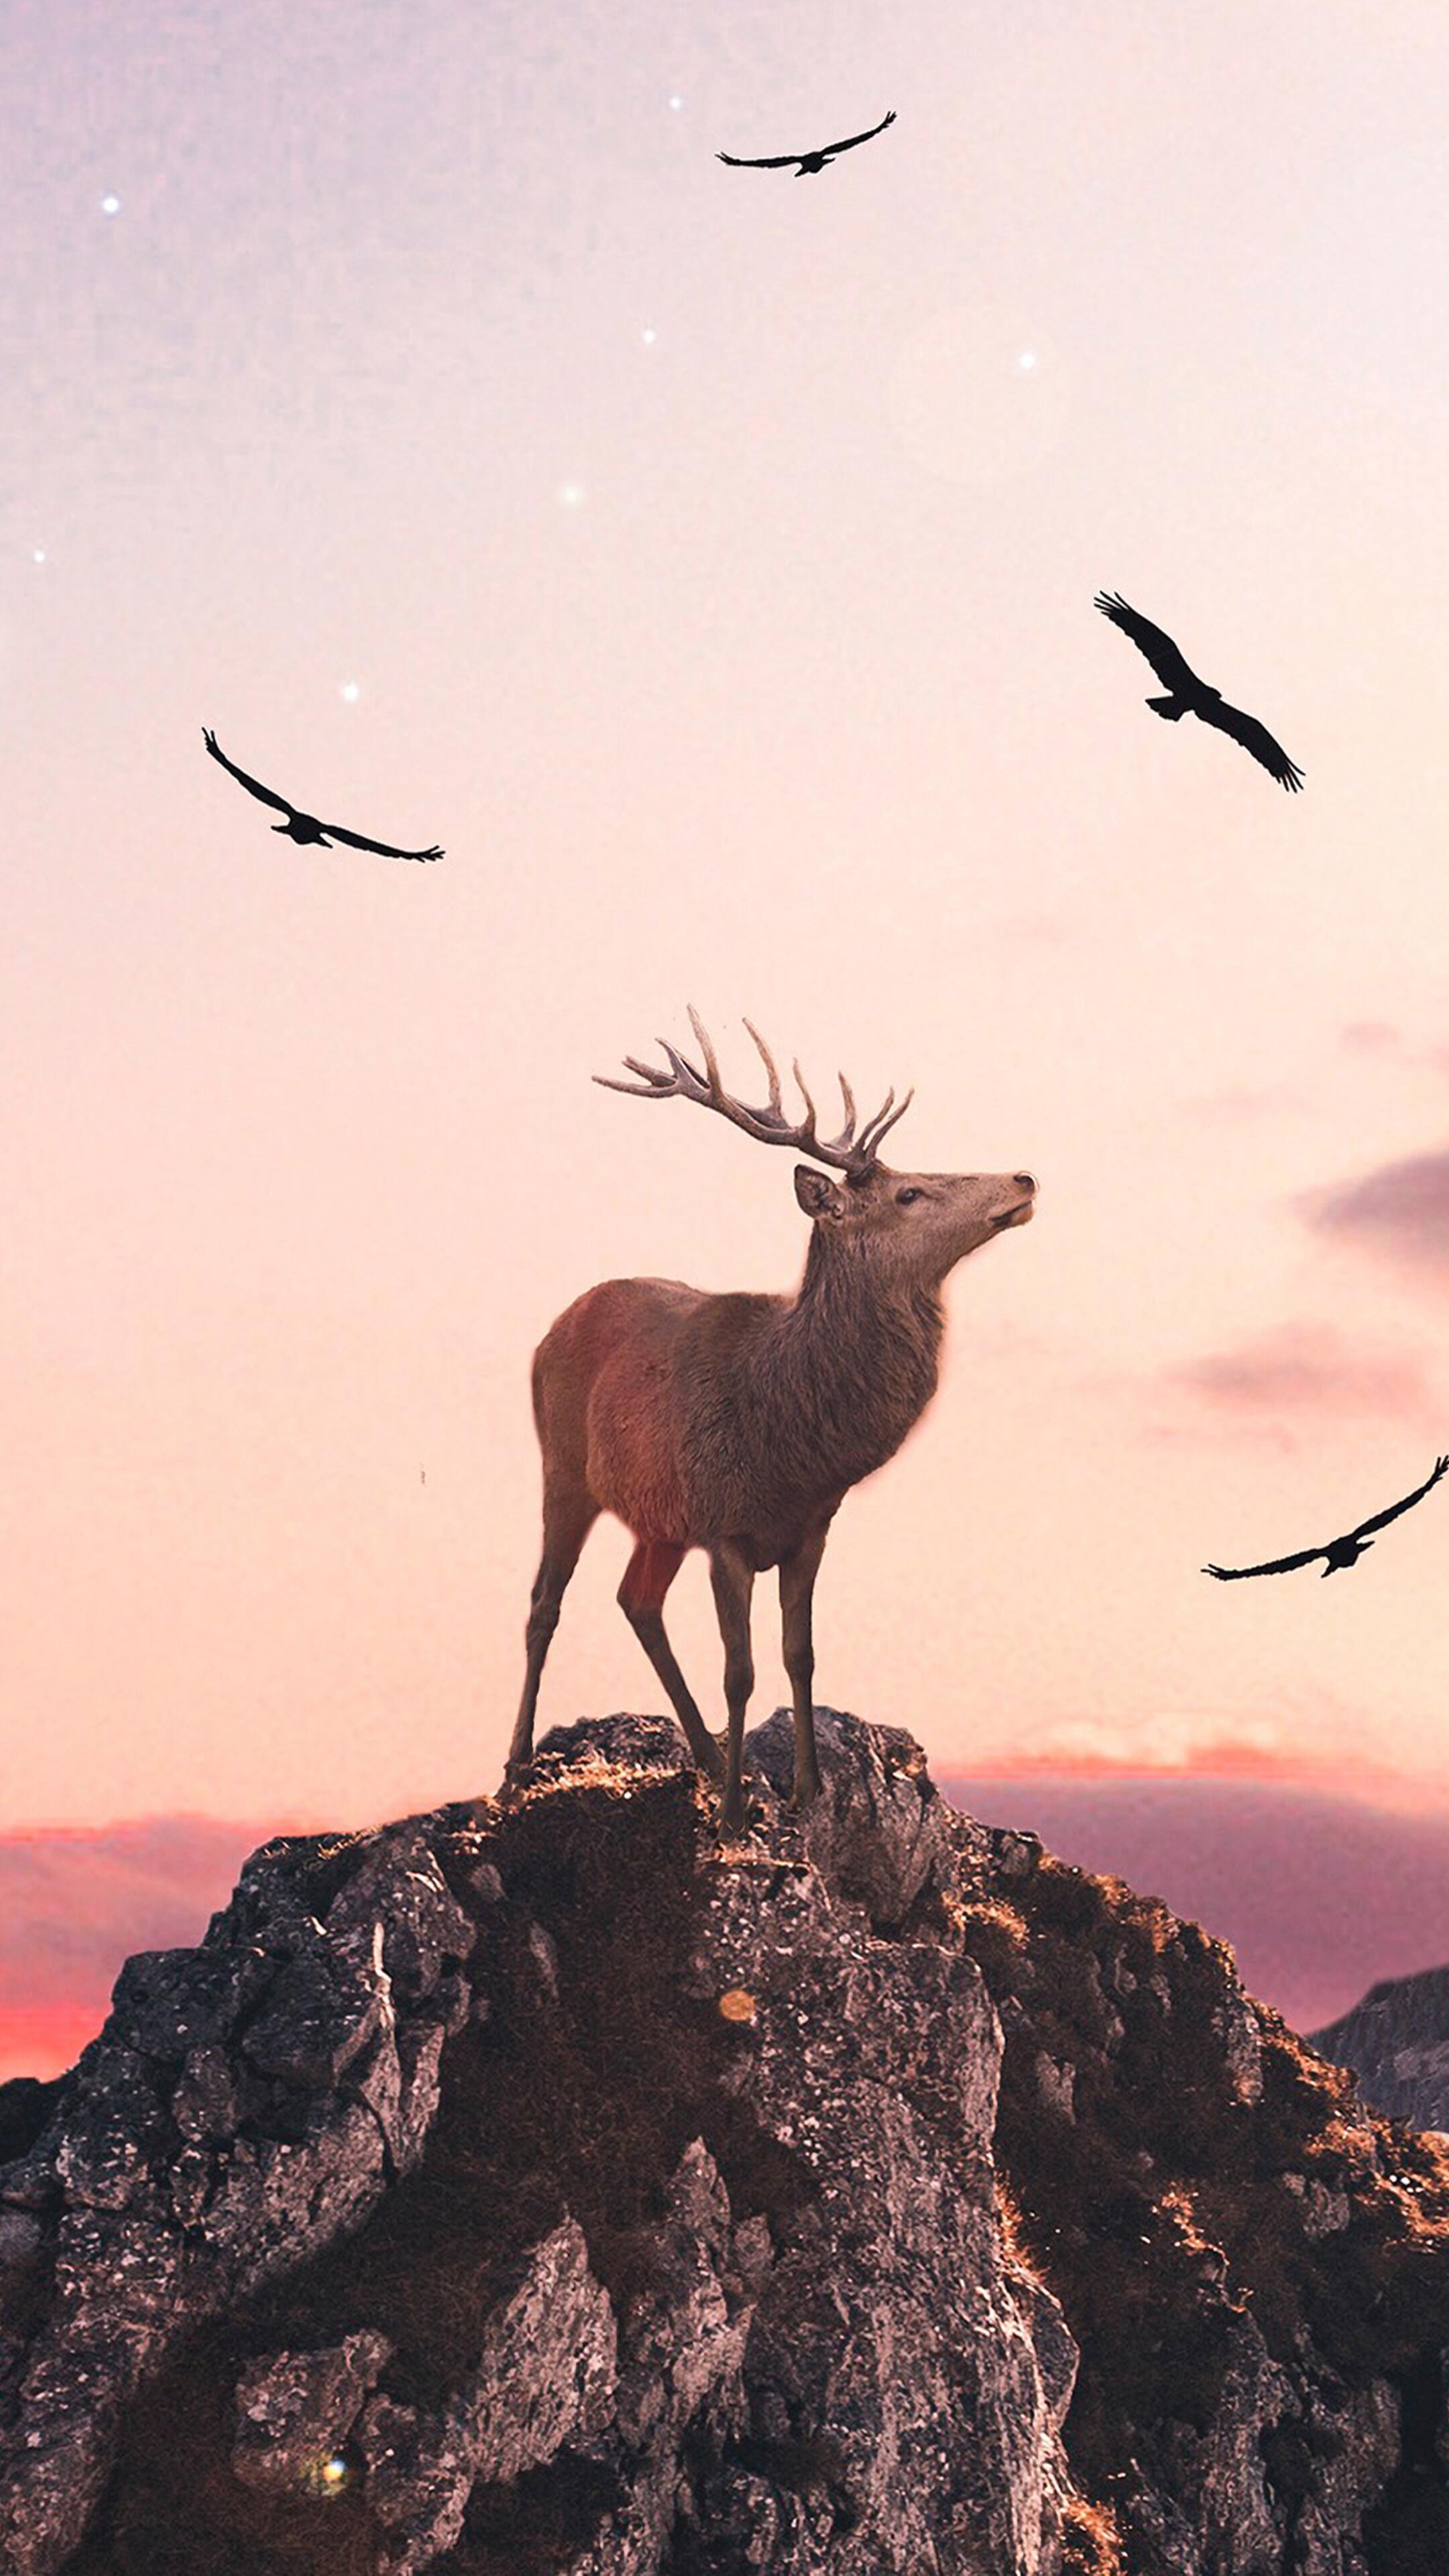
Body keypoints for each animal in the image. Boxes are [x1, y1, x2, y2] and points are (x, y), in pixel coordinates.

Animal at [507, 1011, 1036, 1835]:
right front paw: (732, 1817)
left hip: (660, 1520)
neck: (793, 1443)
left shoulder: (810, 1527)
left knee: (635, 1599)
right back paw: (514, 1769)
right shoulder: (725, 1529)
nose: (1023, 1178)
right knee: (543, 1605)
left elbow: (800, 1653)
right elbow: (741, 1669)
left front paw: (805, 1790)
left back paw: (699, 1754)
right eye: (910, 1193)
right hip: (563, 1468)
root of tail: (554, 1325)